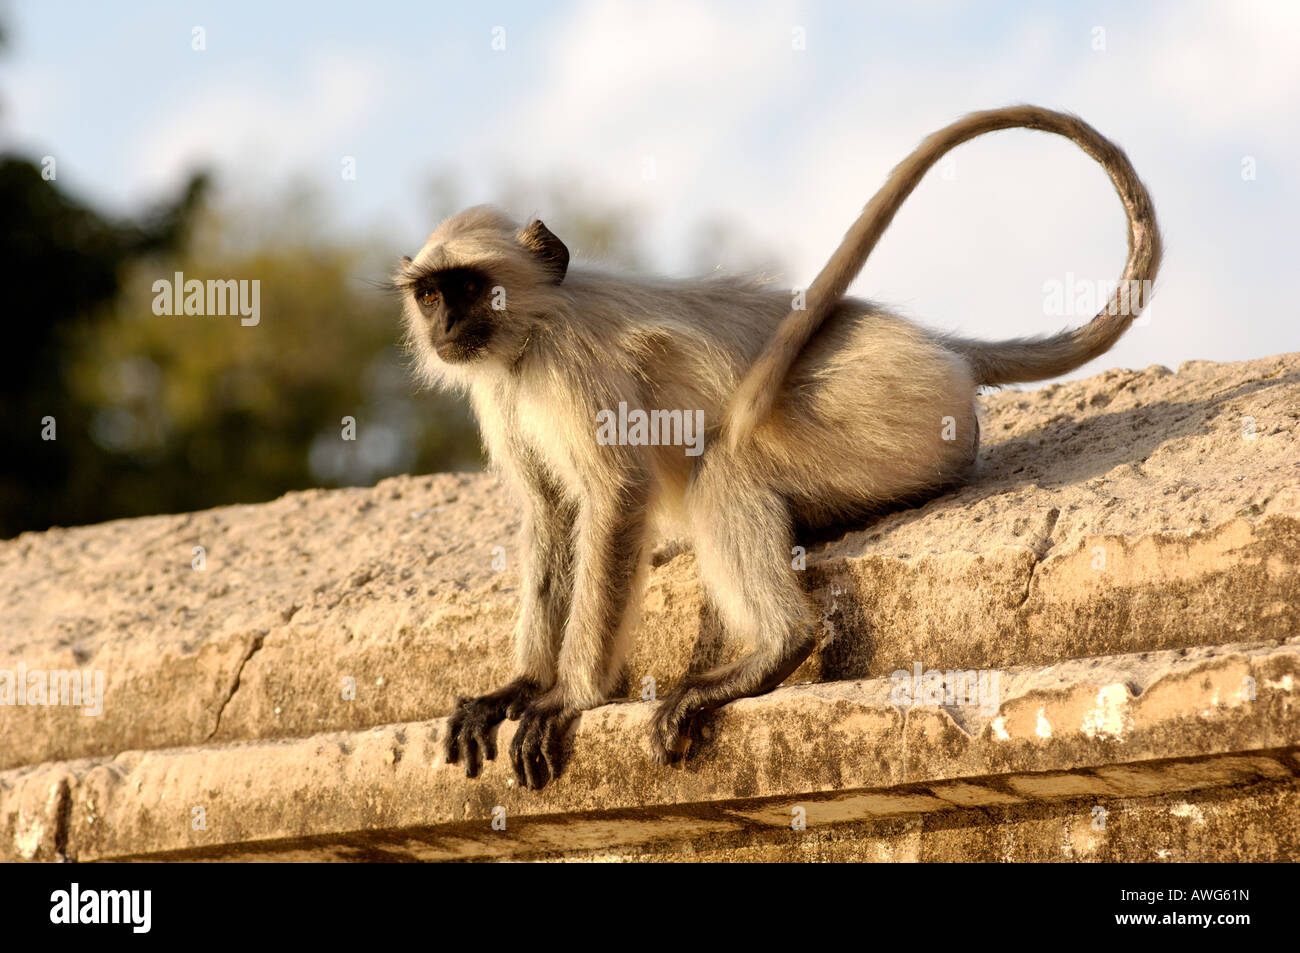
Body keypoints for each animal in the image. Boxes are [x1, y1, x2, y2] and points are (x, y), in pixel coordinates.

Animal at [395, 105, 1161, 790]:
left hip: (891, 418)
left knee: (722, 467)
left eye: (469, 287)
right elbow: (553, 512)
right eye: (431, 295)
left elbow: (616, 496)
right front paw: (521, 686)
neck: (527, 336)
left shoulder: (570, 363)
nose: (445, 325)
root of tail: (934, 348)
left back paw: (773, 650)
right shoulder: (498, 389)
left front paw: (569, 696)